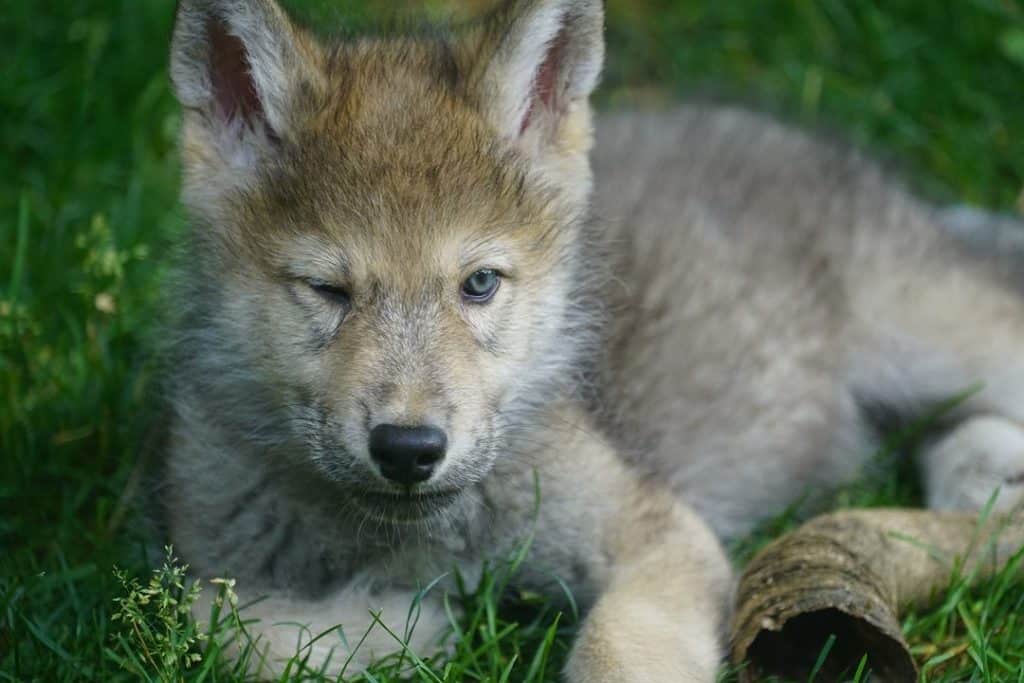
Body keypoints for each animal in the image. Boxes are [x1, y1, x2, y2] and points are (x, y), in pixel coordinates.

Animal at [161, 0, 1024, 679]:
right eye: (328, 290)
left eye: (480, 283)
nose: (408, 448)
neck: (413, 539)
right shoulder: (197, 552)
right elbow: (215, 624)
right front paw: (391, 624)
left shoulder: (662, 535)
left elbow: (616, 651)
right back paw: (983, 481)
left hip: (938, 334)